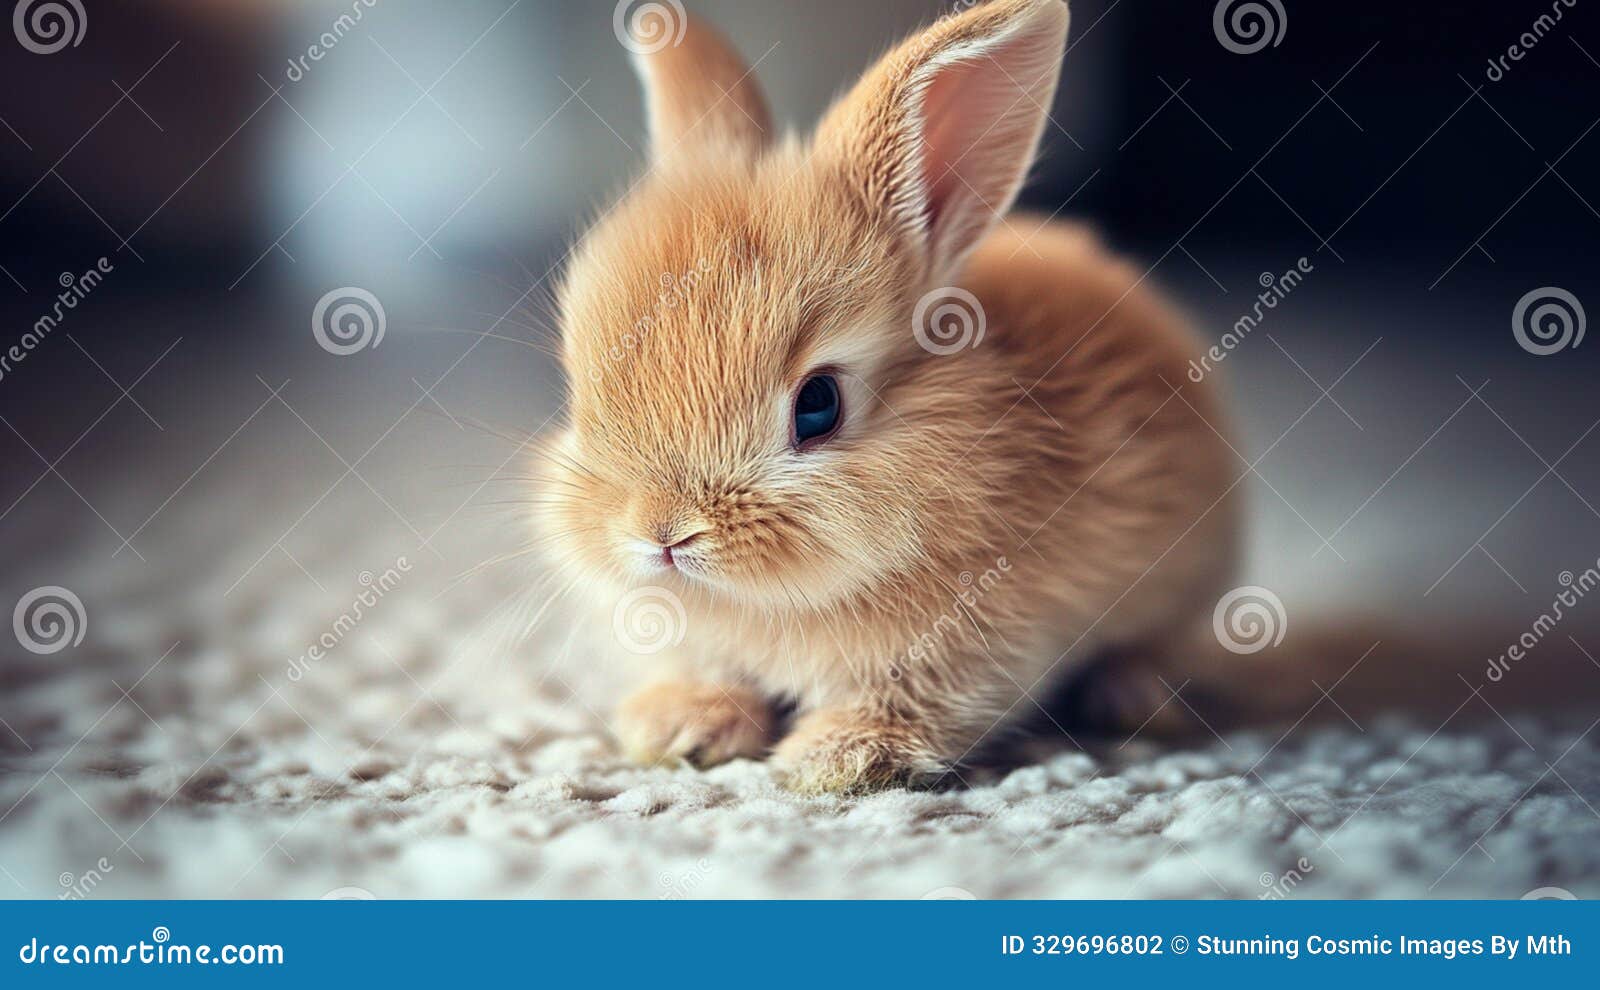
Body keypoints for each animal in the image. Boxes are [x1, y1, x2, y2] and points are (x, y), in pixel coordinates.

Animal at [531, 0, 1241, 794]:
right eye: (582, 392)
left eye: (818, 404)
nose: (661, 533)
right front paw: (678, 727)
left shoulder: (974, 646)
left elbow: (914, 701)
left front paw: (834, 758)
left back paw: (1136, 699)